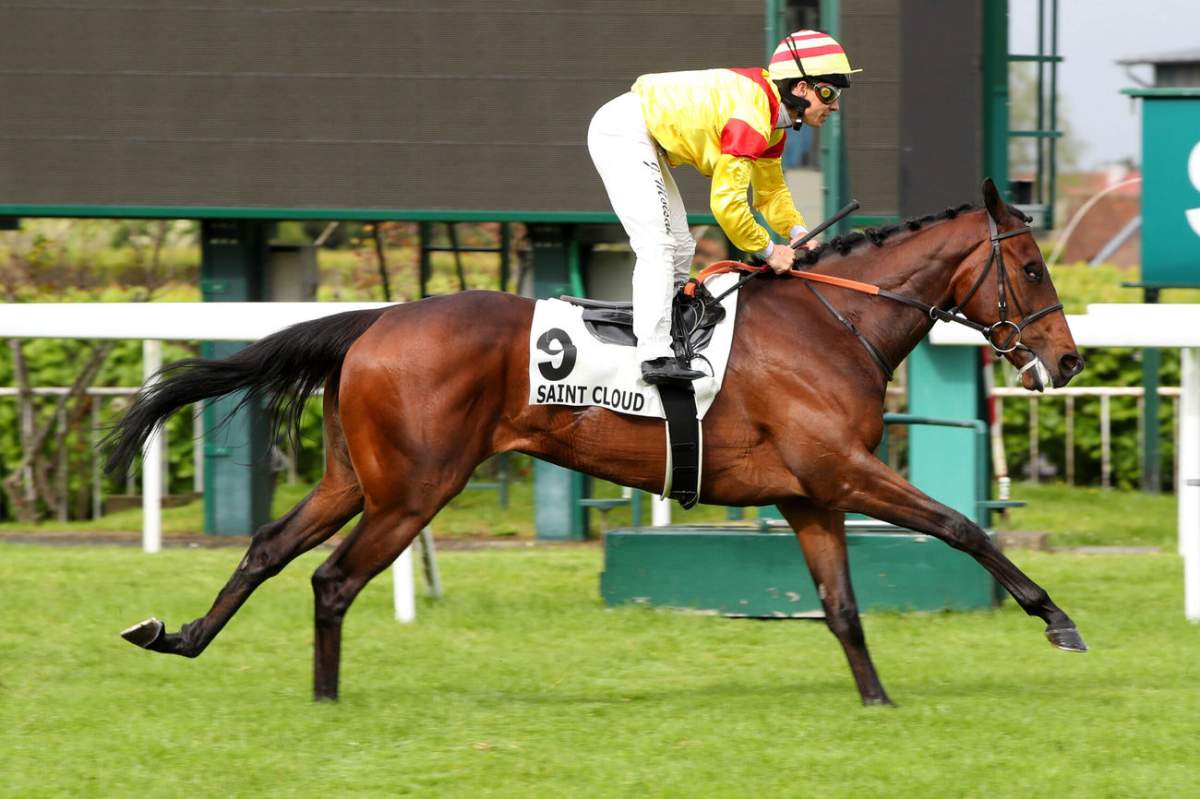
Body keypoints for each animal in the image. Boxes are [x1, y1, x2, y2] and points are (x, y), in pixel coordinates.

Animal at [109, 178, 1087, 706]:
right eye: (1032, 265)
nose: (1069, 357)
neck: (832, 320)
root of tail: (375, 322)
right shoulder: (844, 470)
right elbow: (961, 526)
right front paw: (1056, 617)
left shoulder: (808, 494)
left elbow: (843, 607)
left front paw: (878, 699)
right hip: (414, 489)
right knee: (333, 578)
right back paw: (324, 696)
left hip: (359, 478)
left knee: (269, 548)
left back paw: (179, 636)